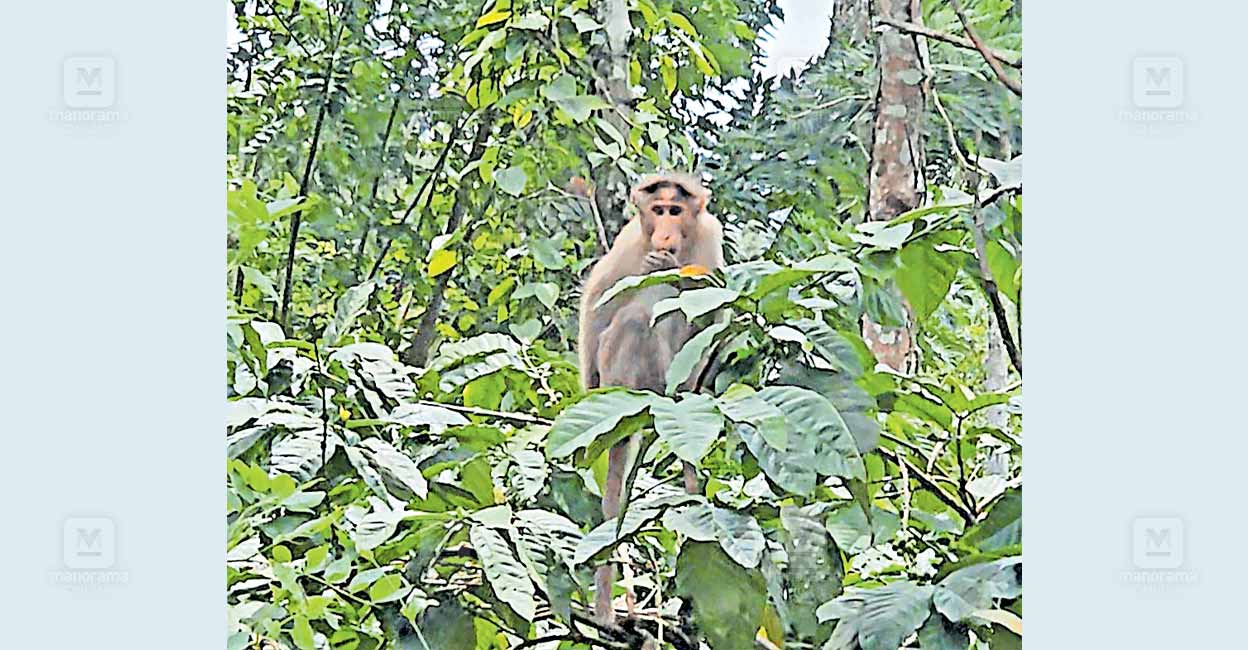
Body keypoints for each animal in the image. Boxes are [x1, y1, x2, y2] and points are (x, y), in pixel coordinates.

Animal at [577, 173, 725, 625]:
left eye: (675, 211)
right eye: (658, 211)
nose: (664, 232)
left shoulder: (710, 238)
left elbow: (712, 313)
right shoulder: (630, 243)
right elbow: (597, 307)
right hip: (615, 370)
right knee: (631, 318)